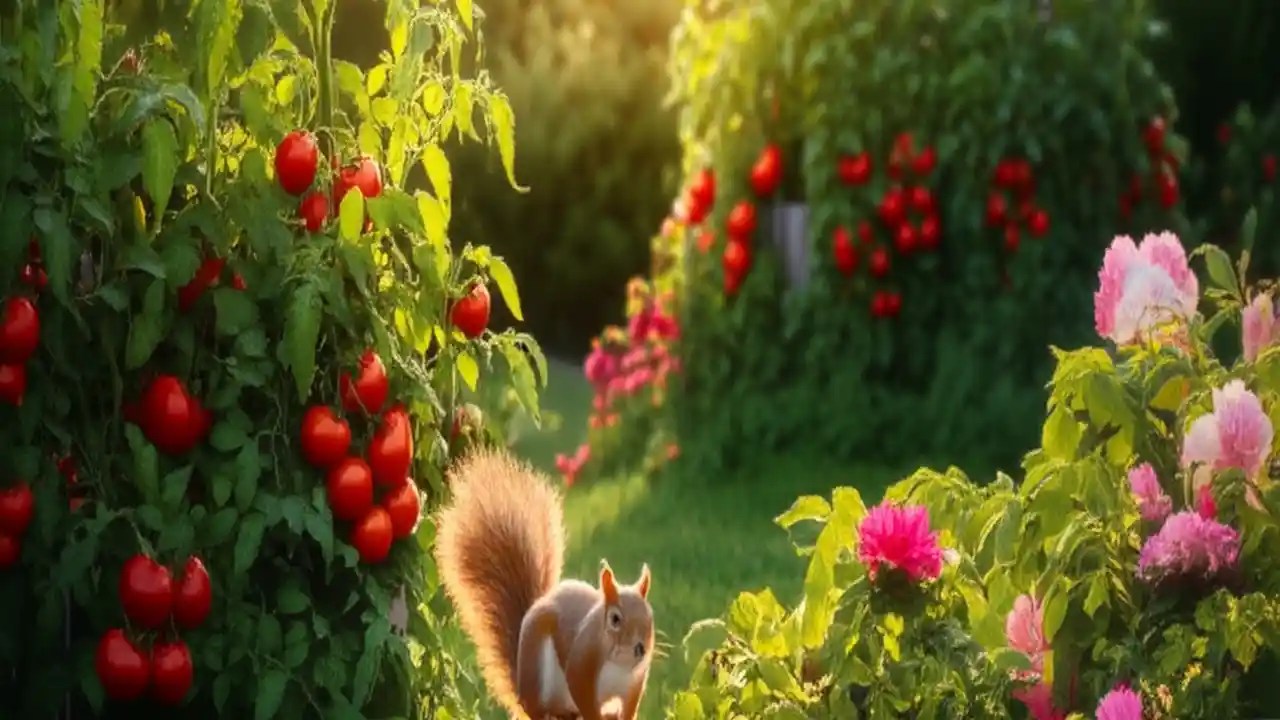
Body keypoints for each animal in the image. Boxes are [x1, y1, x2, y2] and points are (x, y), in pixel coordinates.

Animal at [434, 448, 655, 720]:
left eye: (650, 617)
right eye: (615, 619)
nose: (640, 648)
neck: (619, 664)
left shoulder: (635, 682)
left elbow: (630, 708)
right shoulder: (582, 664)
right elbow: (581, 691)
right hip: (539, 673)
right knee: (542, 710)